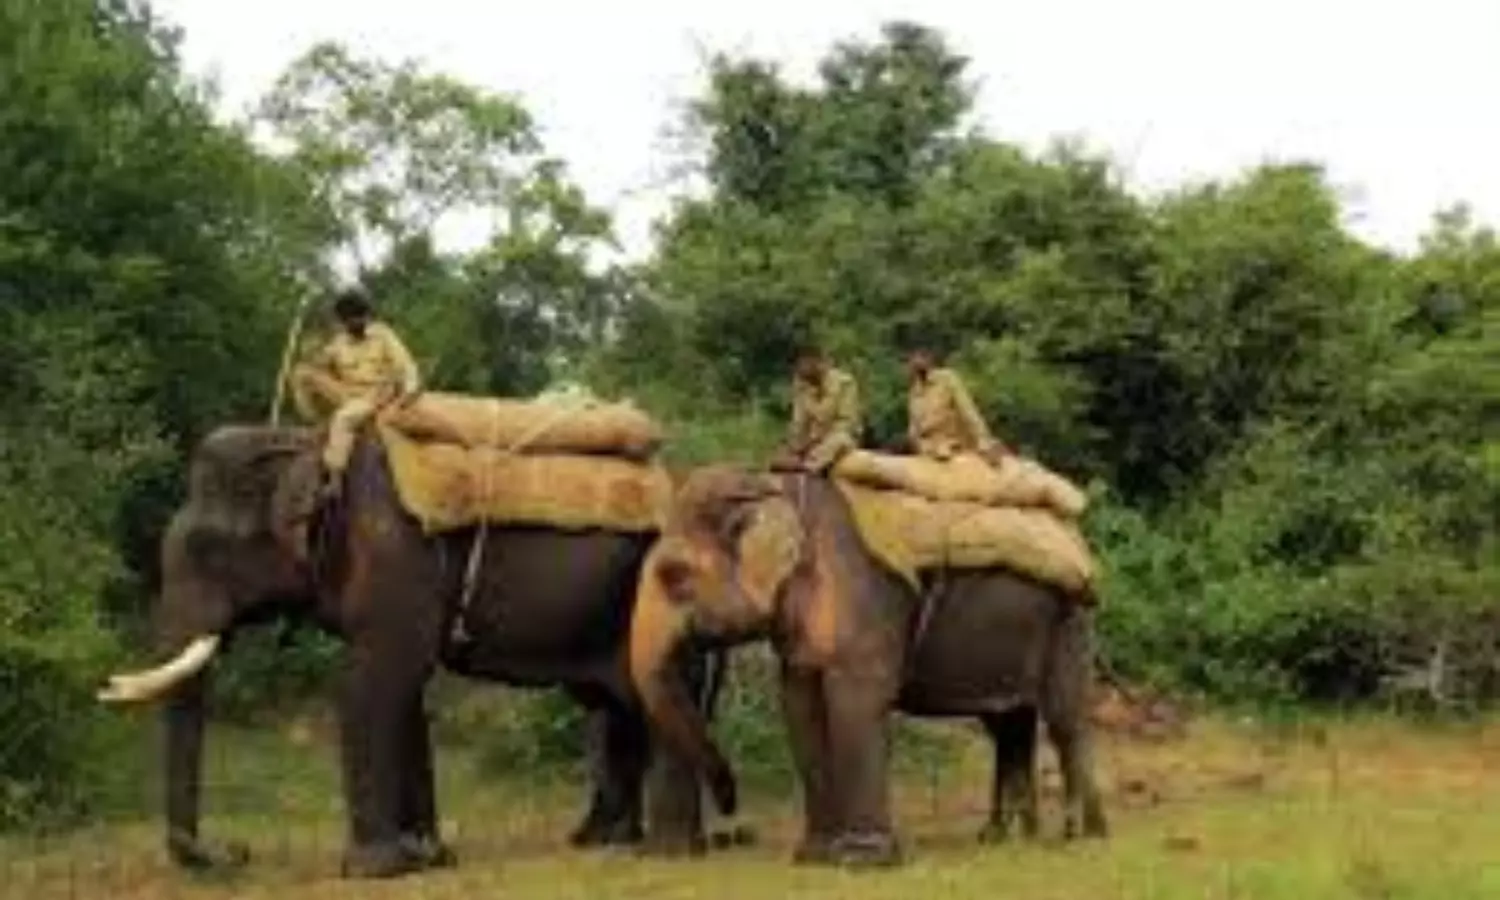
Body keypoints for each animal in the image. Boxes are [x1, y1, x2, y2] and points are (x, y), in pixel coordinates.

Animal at [97, 424, 738, 880]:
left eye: (208, 550)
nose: (236, 851)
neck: (314, 444)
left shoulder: (394, 557)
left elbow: (372, 682)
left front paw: (371, 870)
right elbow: (402, 692)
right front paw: (426, 858)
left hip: (664, 595)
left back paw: (667, 853)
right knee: (613, 704)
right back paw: (602, 842)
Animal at [628, 464, 1107, 868]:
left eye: (674, 575)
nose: (731, 812)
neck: (771, 486)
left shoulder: (863, 595)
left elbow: (855, 699)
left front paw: (864, 860)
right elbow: (799, 704)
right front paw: (814, 857)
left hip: (1068, 622)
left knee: (1065, 720)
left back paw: (1082, 836)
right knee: (1009, 725)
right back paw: (1004, 839)